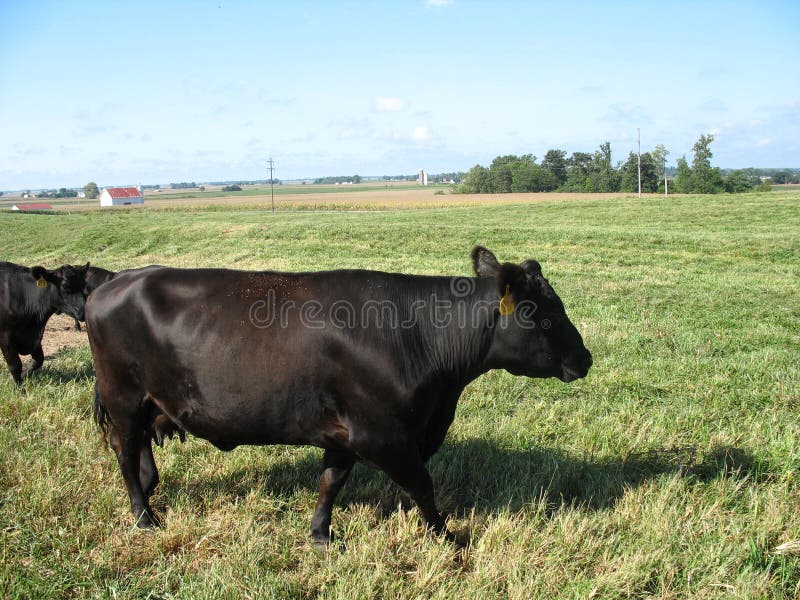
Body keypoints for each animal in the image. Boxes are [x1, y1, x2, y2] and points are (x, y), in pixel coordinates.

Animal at [87, 246, 592, 547]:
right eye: (543, 311)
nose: (586, 358)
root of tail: (117, 279)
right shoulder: (383, 435)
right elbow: (422, 486)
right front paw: (447, 537)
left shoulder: (344, 432)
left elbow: (331, 481)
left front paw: (320, 534)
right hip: (123, 395)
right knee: (124, 449)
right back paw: (143, 515)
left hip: (146, 400)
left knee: (137, 447)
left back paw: (150, 489)